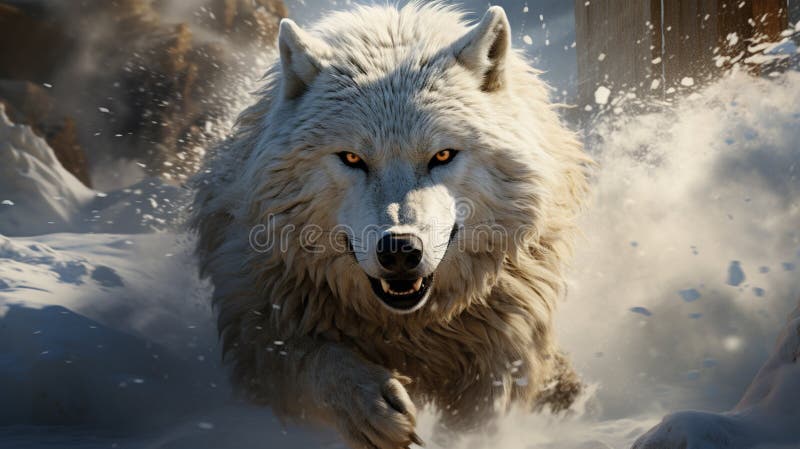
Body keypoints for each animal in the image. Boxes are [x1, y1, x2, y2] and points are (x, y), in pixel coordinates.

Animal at [192, 3, 590, 448]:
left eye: (442, 155)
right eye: (352, 158)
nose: (400, 251)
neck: (408, 329)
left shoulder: (500, 352)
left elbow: (477, 424)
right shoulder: (262, 323)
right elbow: (312, 358)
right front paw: (371, 405)